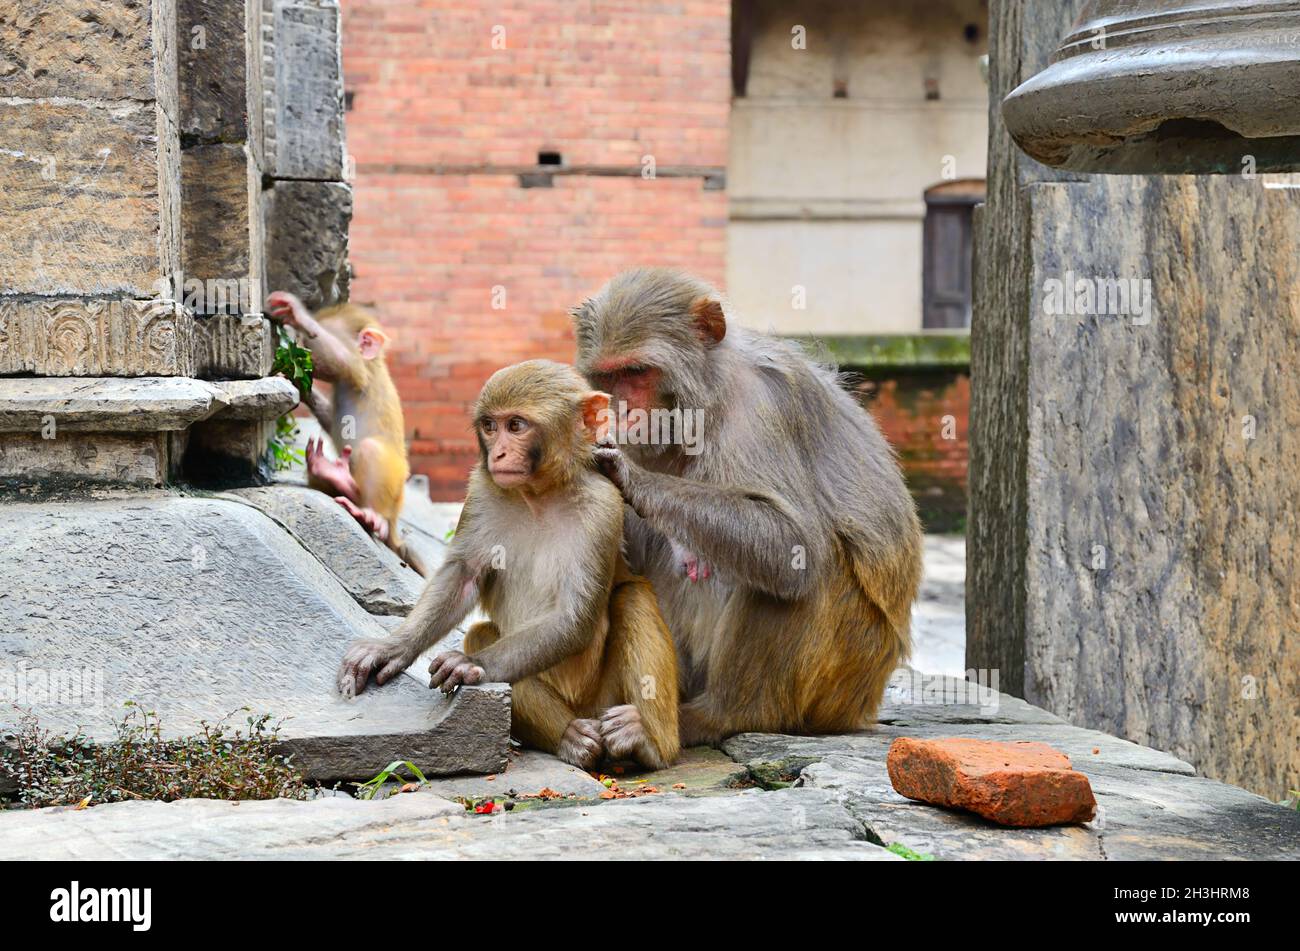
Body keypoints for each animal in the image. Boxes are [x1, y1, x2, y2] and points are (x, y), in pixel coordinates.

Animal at [265, 291, 428, 577]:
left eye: (309, 344)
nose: (301, 346)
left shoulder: (359, 371)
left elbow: (343, 360)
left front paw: (297, 313)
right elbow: (330, 420)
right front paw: (297, 381)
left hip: (395, 486)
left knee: (371, 452)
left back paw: (372, 516)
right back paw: (332, 476)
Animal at [335, 359, 680, 771]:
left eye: (516, 426)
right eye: (490, 426)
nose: (497, 455)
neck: (540, 495)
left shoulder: (604, 507)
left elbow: (574, 617)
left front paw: (469, 664)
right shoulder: (483, 493)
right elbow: (463, 577)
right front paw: (392, 649)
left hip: (604, 698)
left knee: (633, 598)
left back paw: (648, 743)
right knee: (481, 632)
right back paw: (570, 738)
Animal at [570, 267, 924, 747]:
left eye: (638, 371)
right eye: (608, 377)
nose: (622, 412)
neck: (706, 397)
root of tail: (863, 707)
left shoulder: (758, 406)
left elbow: (791, 542)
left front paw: (627, 475)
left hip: (845, 676)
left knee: (805, 567)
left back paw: (715, 718)